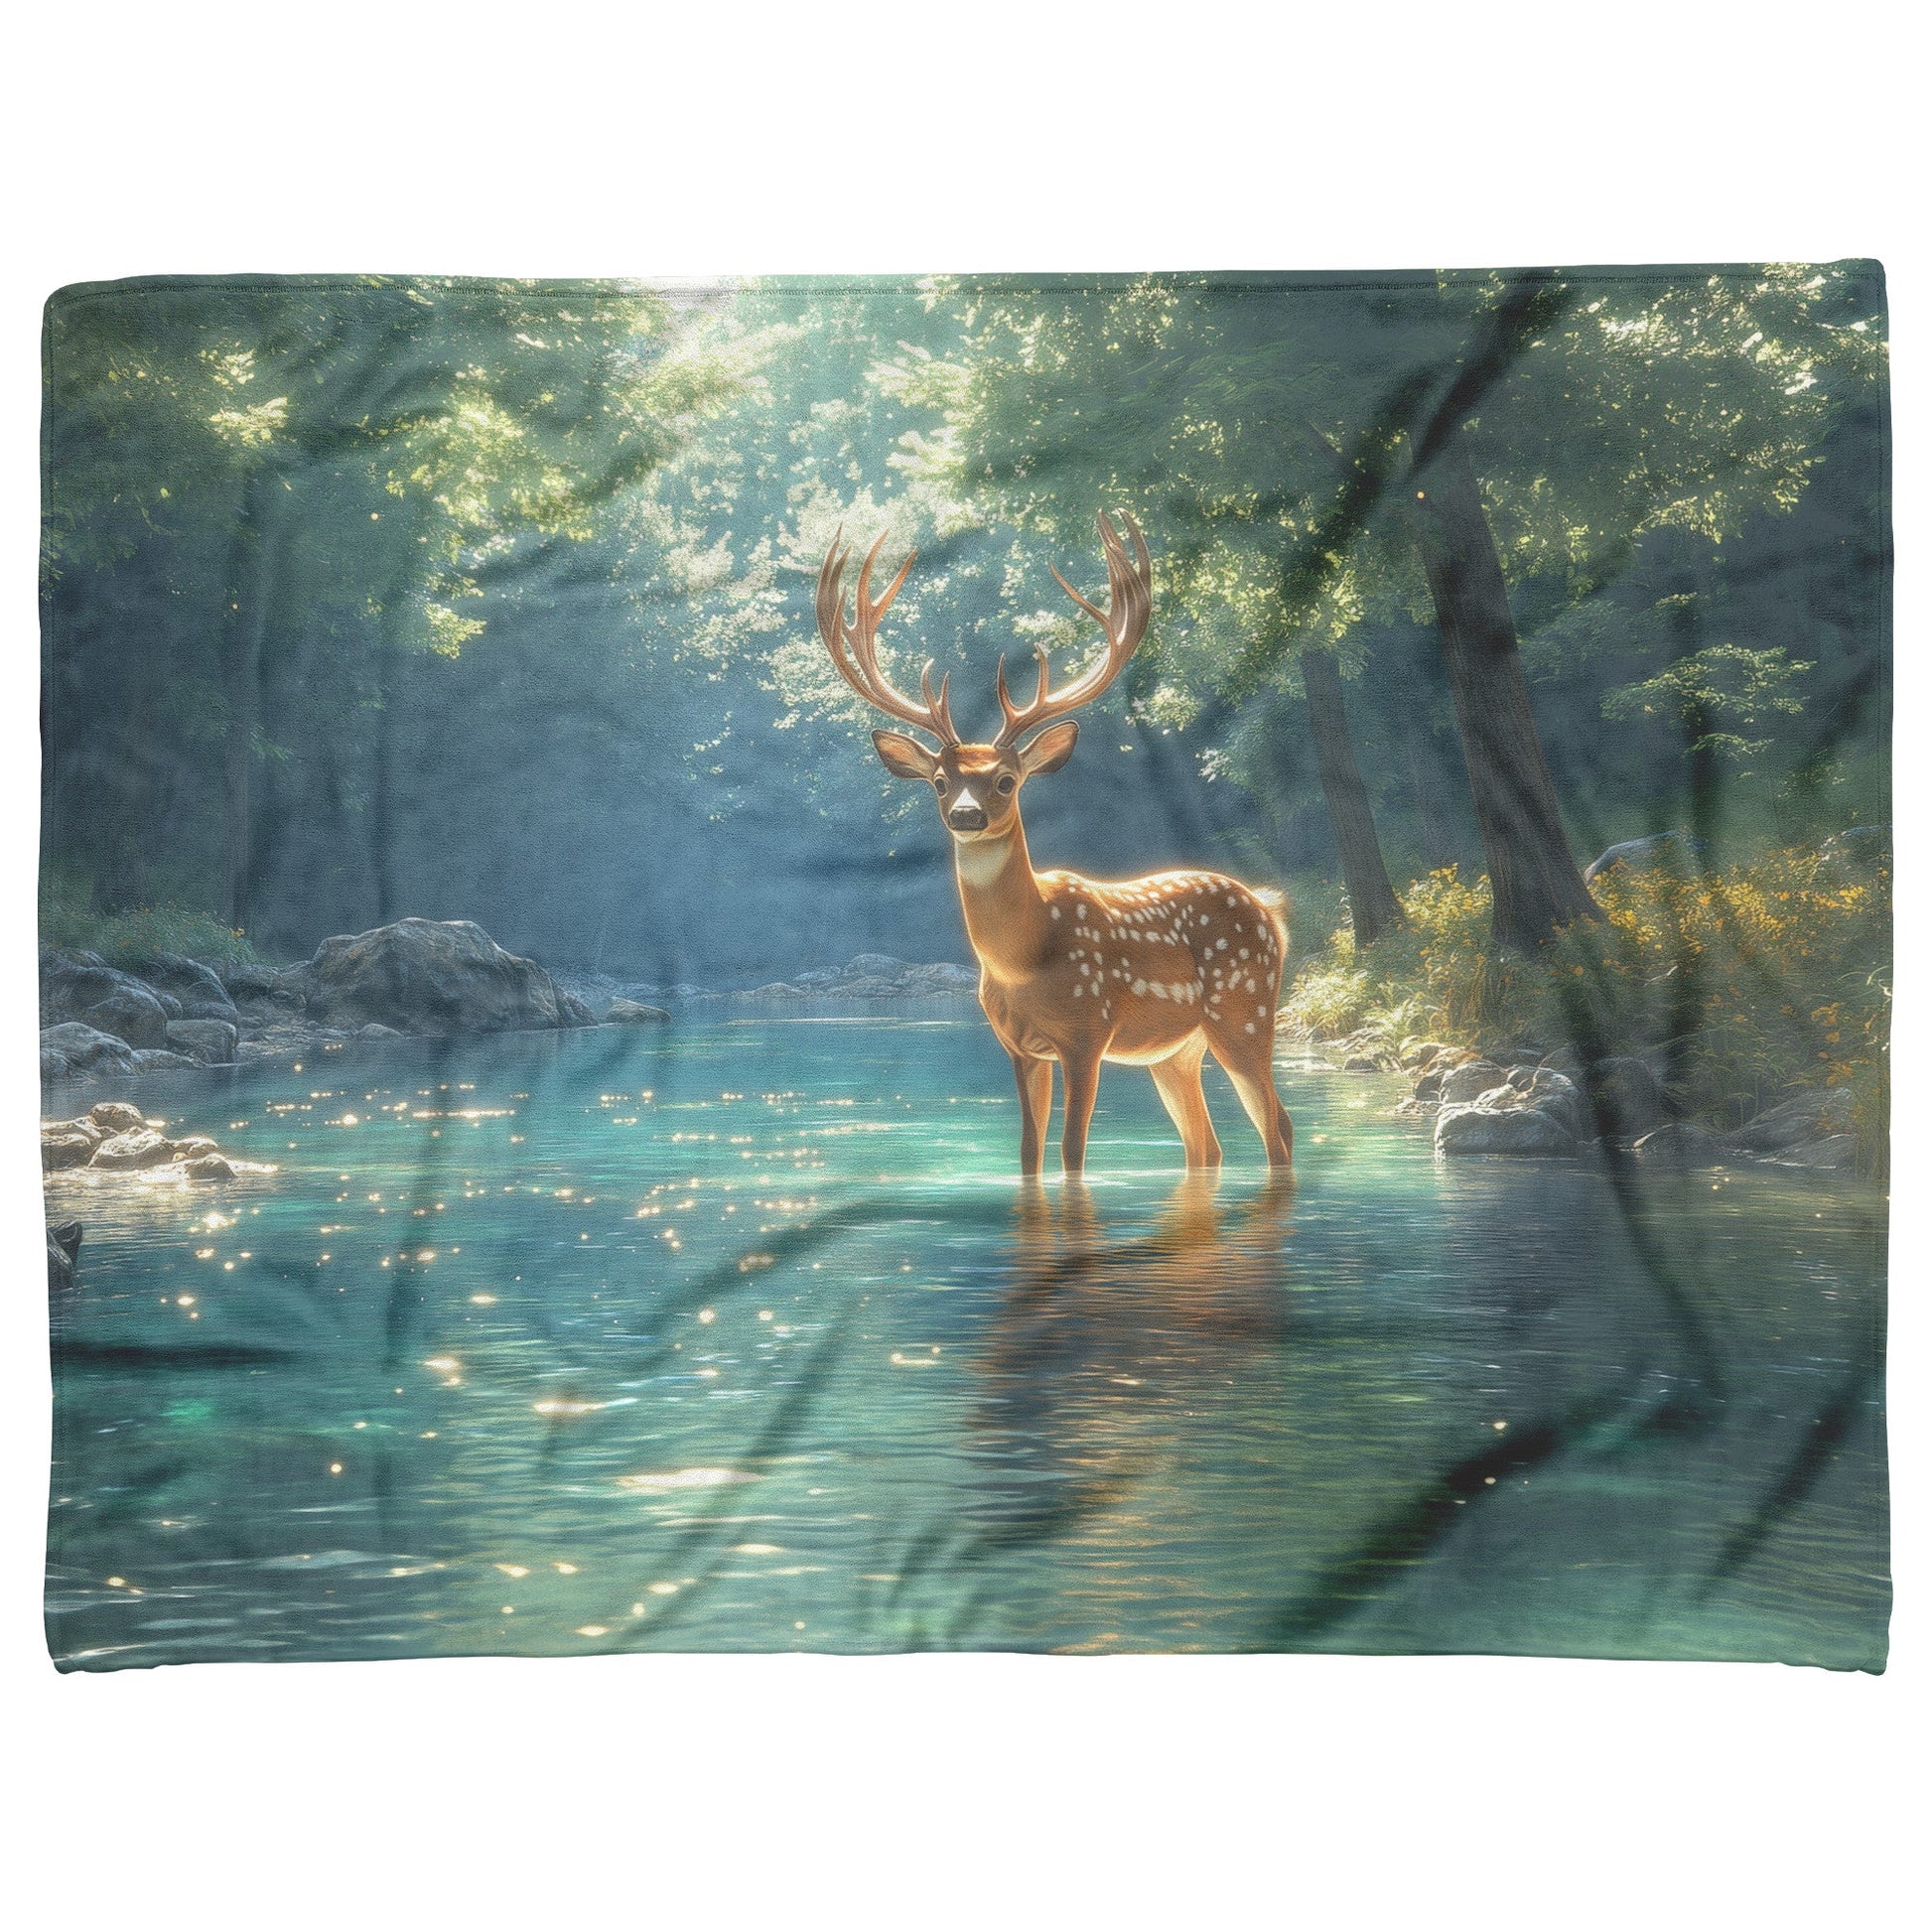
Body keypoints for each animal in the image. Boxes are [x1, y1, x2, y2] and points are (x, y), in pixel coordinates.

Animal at [816, 511, 1294, 1178]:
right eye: (939, 782)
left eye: (1005, 780)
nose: (966, 815)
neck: (1025, 955)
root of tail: (1269, 909)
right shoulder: (1019, 1047)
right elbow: (1028, 1154)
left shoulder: (1087, 1032)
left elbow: (1072, 1153)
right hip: (1174, 1051)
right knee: (1212, 1144)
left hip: (1244, 1010)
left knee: (1277, 1131)